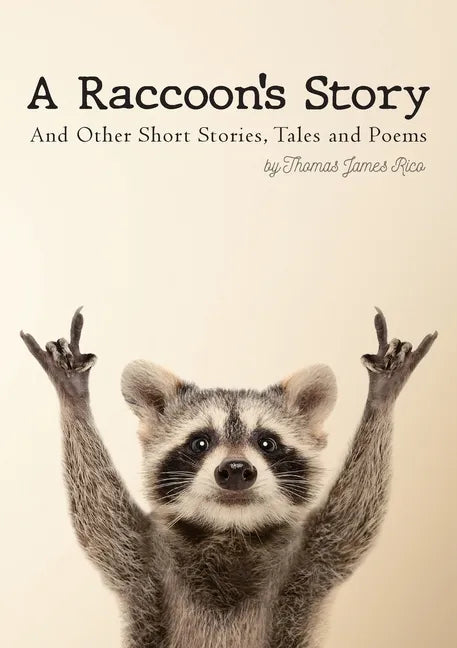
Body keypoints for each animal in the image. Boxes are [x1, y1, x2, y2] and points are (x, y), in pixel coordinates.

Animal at [20, 308, 437, 648]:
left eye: (267, 442)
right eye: (200, 442)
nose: (236, 471)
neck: (230, 530)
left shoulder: (311, 560)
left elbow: (355, 515)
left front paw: (381, 398)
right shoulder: (142, 561)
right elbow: (99, 517)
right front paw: (73, 398)